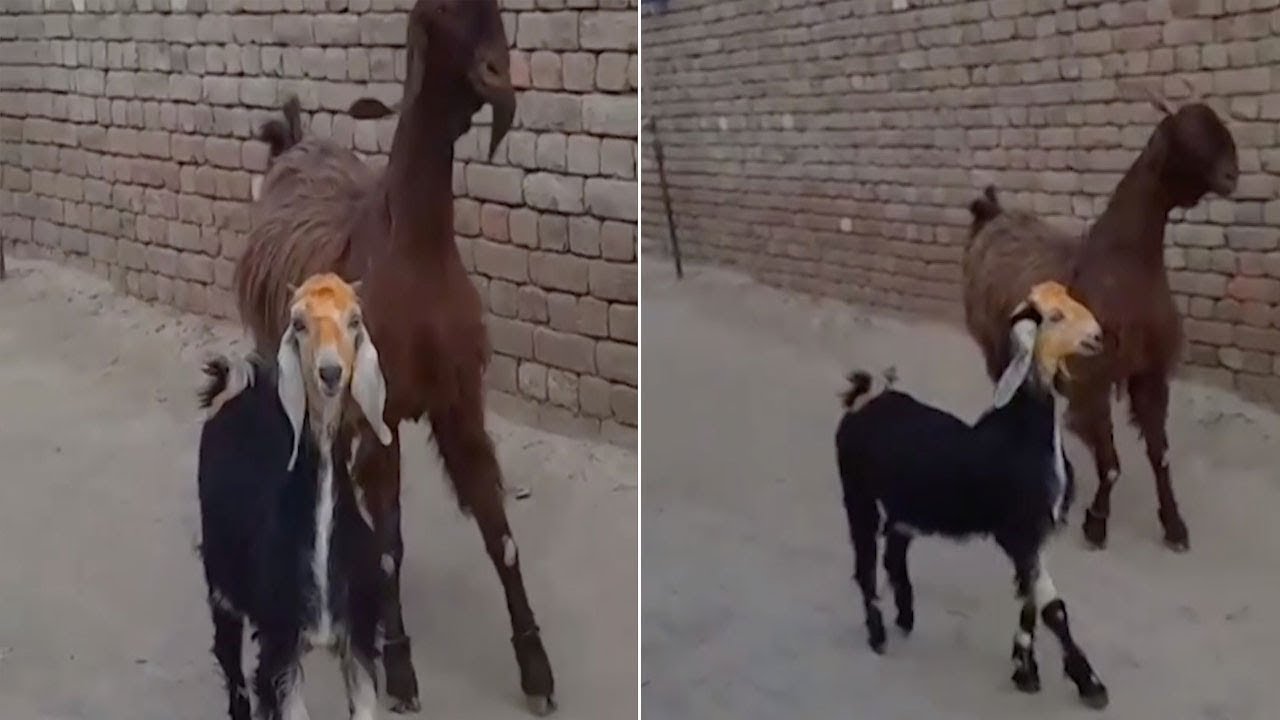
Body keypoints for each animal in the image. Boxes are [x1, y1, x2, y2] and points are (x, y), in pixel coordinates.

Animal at [197, 273, 394, 720]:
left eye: (355, 320)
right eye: (298, 323)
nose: (331, 372)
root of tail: (236, 387)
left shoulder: (358, 632)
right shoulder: (279, 639)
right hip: (222, 580)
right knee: (230, 663)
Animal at [232, 1, 554, 714]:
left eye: (497, 13)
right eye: (443, 18)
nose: (499, 76)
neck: (412, 253)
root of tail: (292, 147)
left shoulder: (459, 403)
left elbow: (501, 535)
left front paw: (537, 669)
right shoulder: (380, 415)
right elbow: (390, 546)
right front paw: (400, 667)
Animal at [836, 281, 1109, 709]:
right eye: (1054, 316)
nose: (1097, 336)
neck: (1022, 430)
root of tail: (860, 404)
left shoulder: (1037, 534)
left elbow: (1035, 601)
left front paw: (1030, 670)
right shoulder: (1018, 532)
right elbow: (1050, 608)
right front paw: (1082, 683)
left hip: (904, 508)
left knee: (894, 554)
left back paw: (906, 617)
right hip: (858, 496)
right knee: (865, 564)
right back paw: (878, 635)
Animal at [963, 83, 1239, 552]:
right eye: (1187, 134)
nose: (1232, 176)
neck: (1124, 267)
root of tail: (992, 218)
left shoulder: (1148, 374)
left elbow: (1160, 456)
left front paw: (1174, 526)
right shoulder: (1092, 379)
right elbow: (1111, 463)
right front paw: (1096, 524)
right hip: (995, 345)